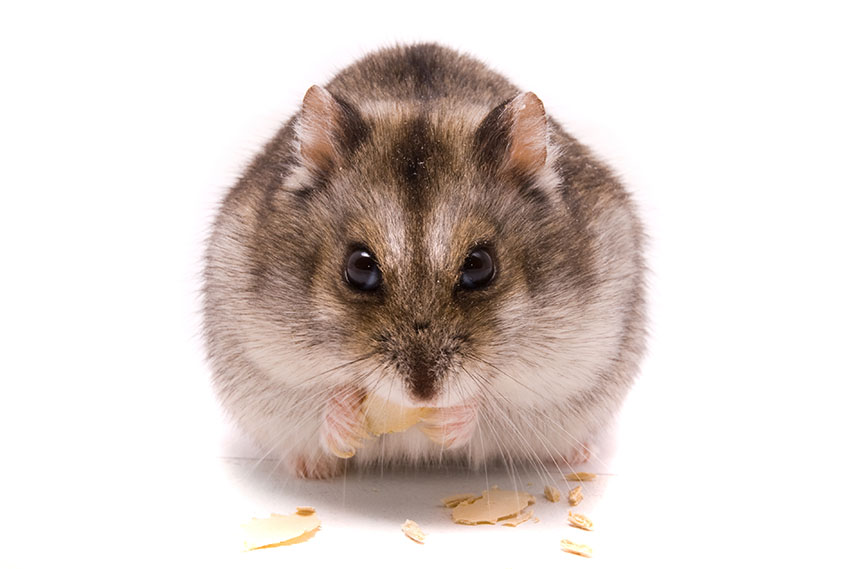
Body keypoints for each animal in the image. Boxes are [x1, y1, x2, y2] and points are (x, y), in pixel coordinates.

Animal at [203, 43, 646, 479]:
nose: (423, 394)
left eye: (480, 266)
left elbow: (490, 401)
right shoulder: (266, 364)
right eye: (360, 268)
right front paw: (345, 418)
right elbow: (321, 401)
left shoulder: (562, 375)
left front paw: (448, 419)